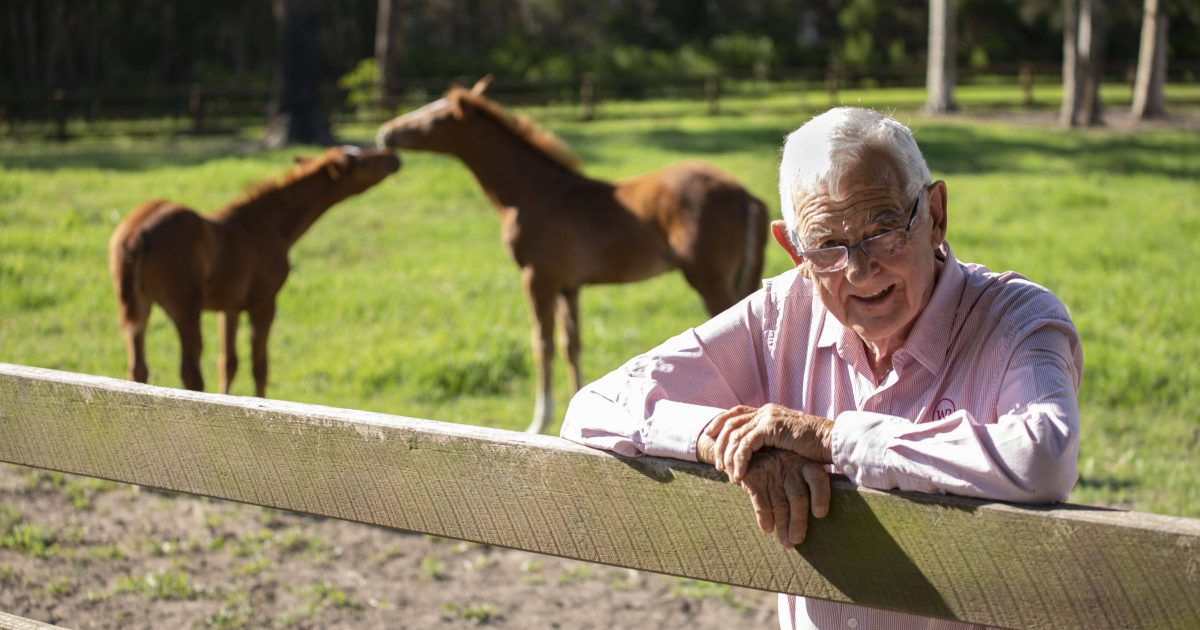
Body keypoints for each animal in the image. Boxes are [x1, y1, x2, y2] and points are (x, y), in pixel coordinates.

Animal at [107, 146, 401, 397]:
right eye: (361, 162)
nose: (394, 157)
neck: (265, 224)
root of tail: (137, 234)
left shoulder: (229, 307)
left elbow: (228, 363)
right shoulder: (263, 304)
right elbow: (260, 367)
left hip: (137, 310)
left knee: (138, 368)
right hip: (185, 310)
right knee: (190, 373)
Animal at [376, 77, 768, 434]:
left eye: (436, 119)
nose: (386, 133)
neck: (532, 193)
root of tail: (744, 193)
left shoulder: (538, 278)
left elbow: (543, 344)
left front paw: (538, 421)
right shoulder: (570, 286)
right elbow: (571, 344)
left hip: (710, 280)